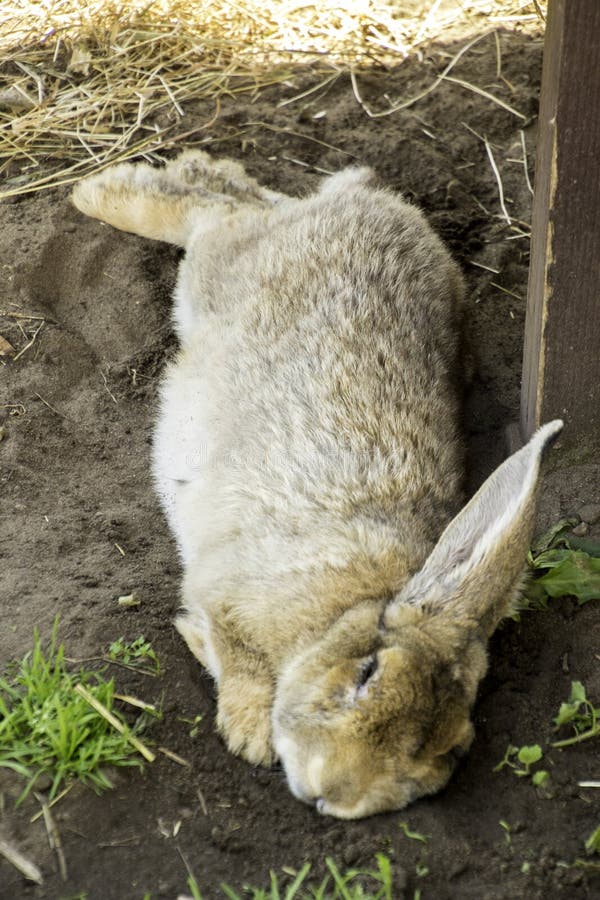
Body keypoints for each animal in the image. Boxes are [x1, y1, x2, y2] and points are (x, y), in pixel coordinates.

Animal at [72, 151, 562, 819]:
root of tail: (372, 201)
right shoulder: (232, 597)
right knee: (217, 209)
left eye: (447, 752)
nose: (335, 792)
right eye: (366, 673)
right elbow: (237, 657)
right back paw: (98, 193)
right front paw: (250, 734)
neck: (339, 614)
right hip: (215, 273)